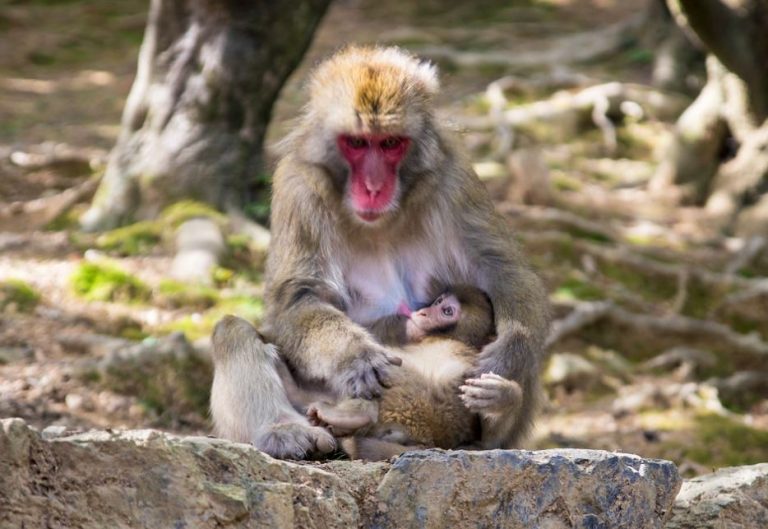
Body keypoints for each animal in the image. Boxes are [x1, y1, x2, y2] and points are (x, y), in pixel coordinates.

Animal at [209, 45, 550, 459]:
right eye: (357, 143)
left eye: (390, 144)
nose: (373, 187)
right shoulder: (298, 188)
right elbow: (298, 298)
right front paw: (355, 356)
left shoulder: (453, 177)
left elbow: (502, 269)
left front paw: (509, 353)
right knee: (233, 331)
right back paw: (287, 431)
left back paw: (497, 412)